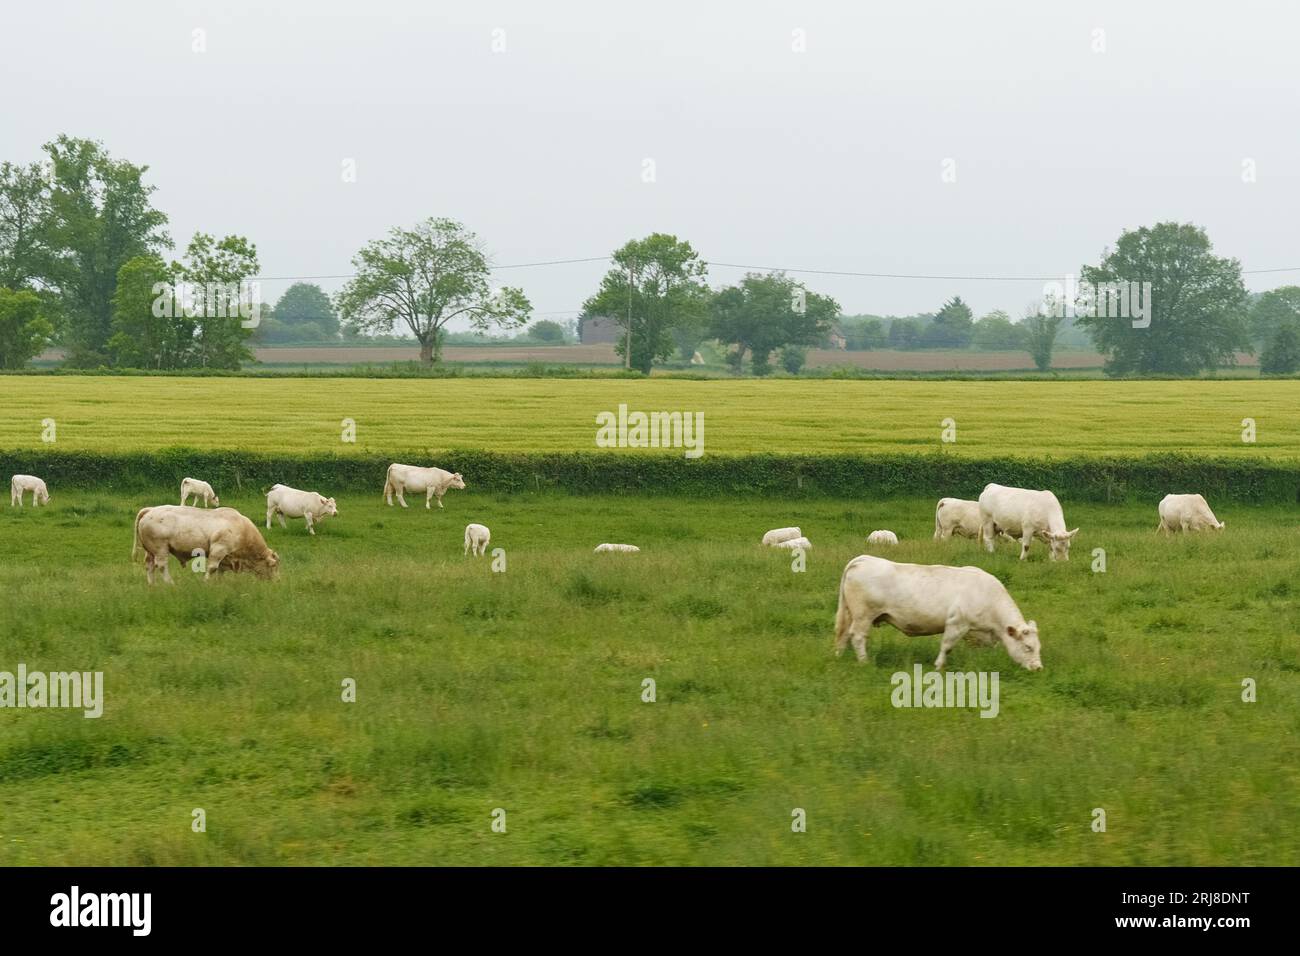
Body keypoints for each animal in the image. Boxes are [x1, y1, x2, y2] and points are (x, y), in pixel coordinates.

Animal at [132, 505, 279, 584]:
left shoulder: (225, 557)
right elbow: (212, 568)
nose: (276, 582)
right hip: (160, 549)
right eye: (273, 566)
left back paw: (152, 585)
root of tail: (150, 510)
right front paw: (206, 582)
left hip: (150, 551)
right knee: (162, 566)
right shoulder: (218, 550)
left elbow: (220, 571)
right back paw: (171, 584)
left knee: (149, 566)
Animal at [834, 554, 1043, 671]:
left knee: (843, 634)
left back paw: (839, 656)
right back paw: (864, 662)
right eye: (1028, 647)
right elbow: (946, 646)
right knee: (857, 636)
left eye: (1038, 647)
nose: (1038, 668)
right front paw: (939, 665)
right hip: (863, 615)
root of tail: (863, 559)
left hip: (850, 614)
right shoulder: (957, 624)